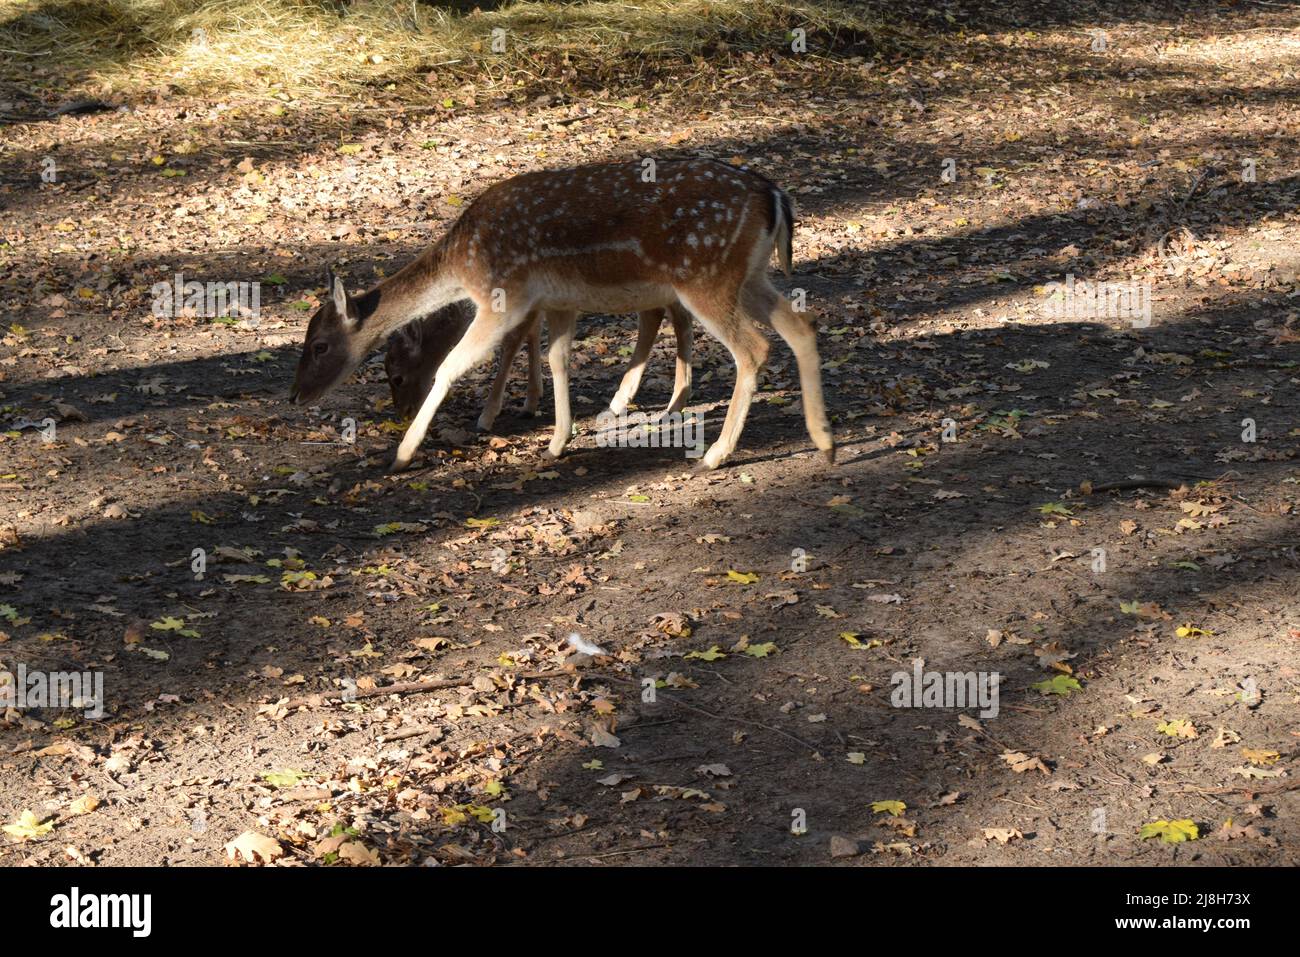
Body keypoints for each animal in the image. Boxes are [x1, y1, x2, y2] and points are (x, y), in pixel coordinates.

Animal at [385, 302, 694, 427]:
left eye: (397, 377)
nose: (403, 412)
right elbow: (533, 331)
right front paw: (531, 400)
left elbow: (512, 341)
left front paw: (487, 415)